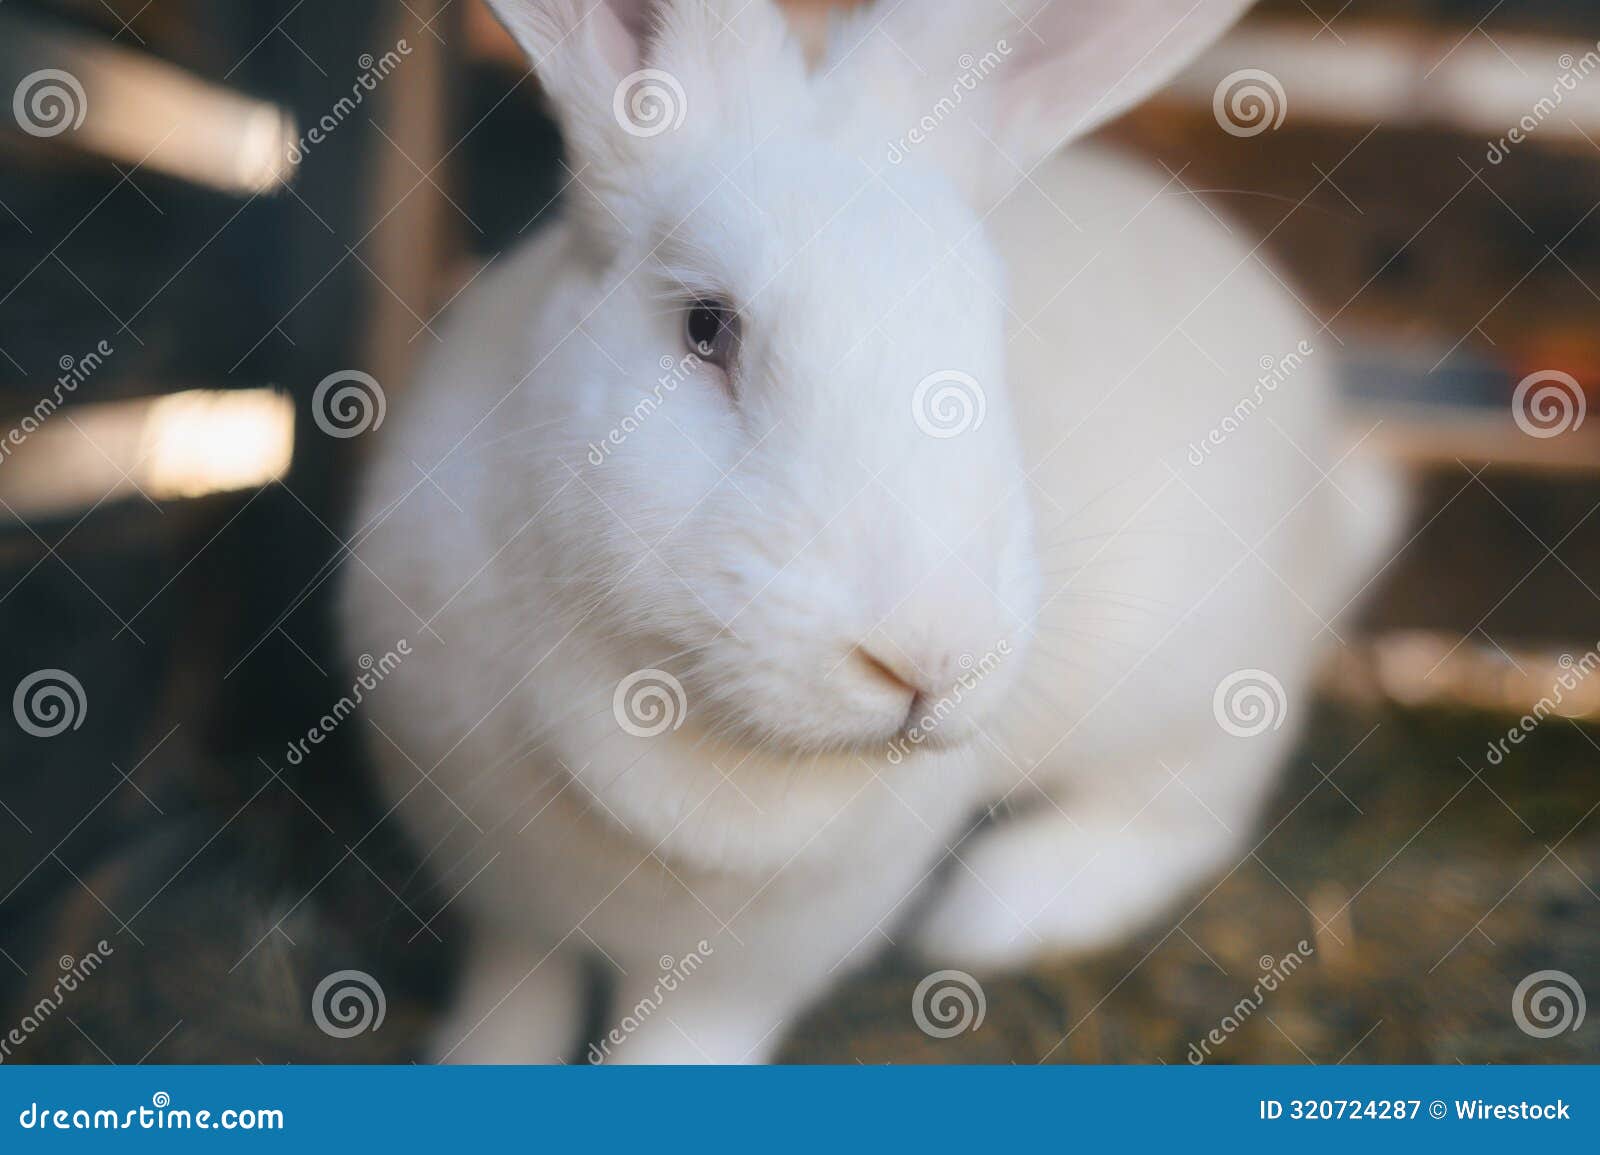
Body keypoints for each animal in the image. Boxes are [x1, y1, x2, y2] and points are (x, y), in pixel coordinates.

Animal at [339, 0, 1404, 1064]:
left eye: (991, 338)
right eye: (705, 327)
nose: (930, 656)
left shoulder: (759, 962)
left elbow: (678, 1045)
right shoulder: (509, 901)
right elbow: (512, 1001)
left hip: (1203, 684)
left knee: (1187, 810)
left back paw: (997, 910)